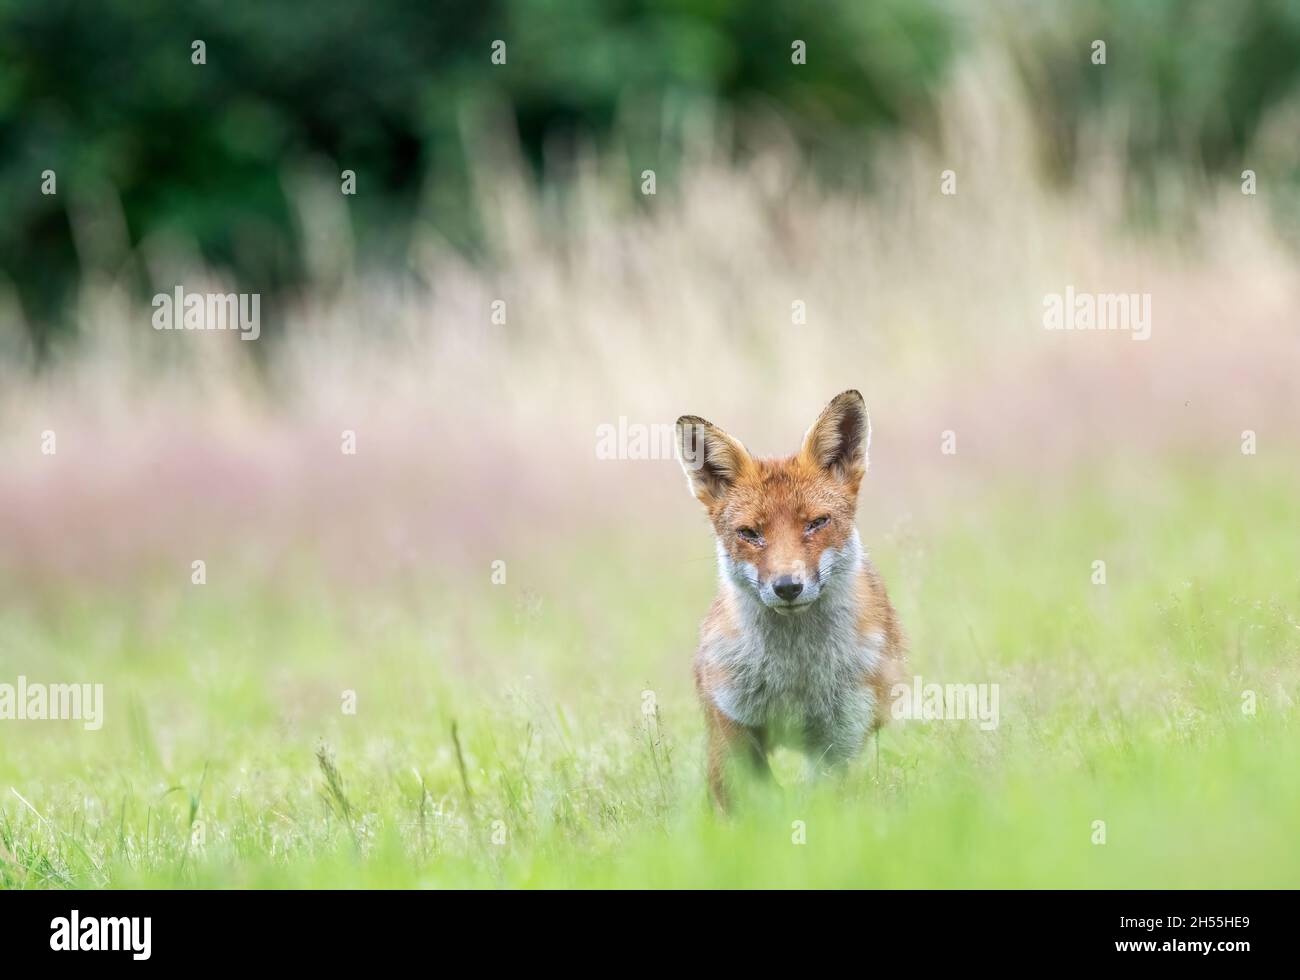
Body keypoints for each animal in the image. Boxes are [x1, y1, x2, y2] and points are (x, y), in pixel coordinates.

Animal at [674, 390, 906, 810]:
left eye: (816, 523)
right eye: (750, 533)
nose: (787, 586)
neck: (793, 675)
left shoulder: (840, 738)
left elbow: (822, 804)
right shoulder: (731, 722)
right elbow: (744, 800)